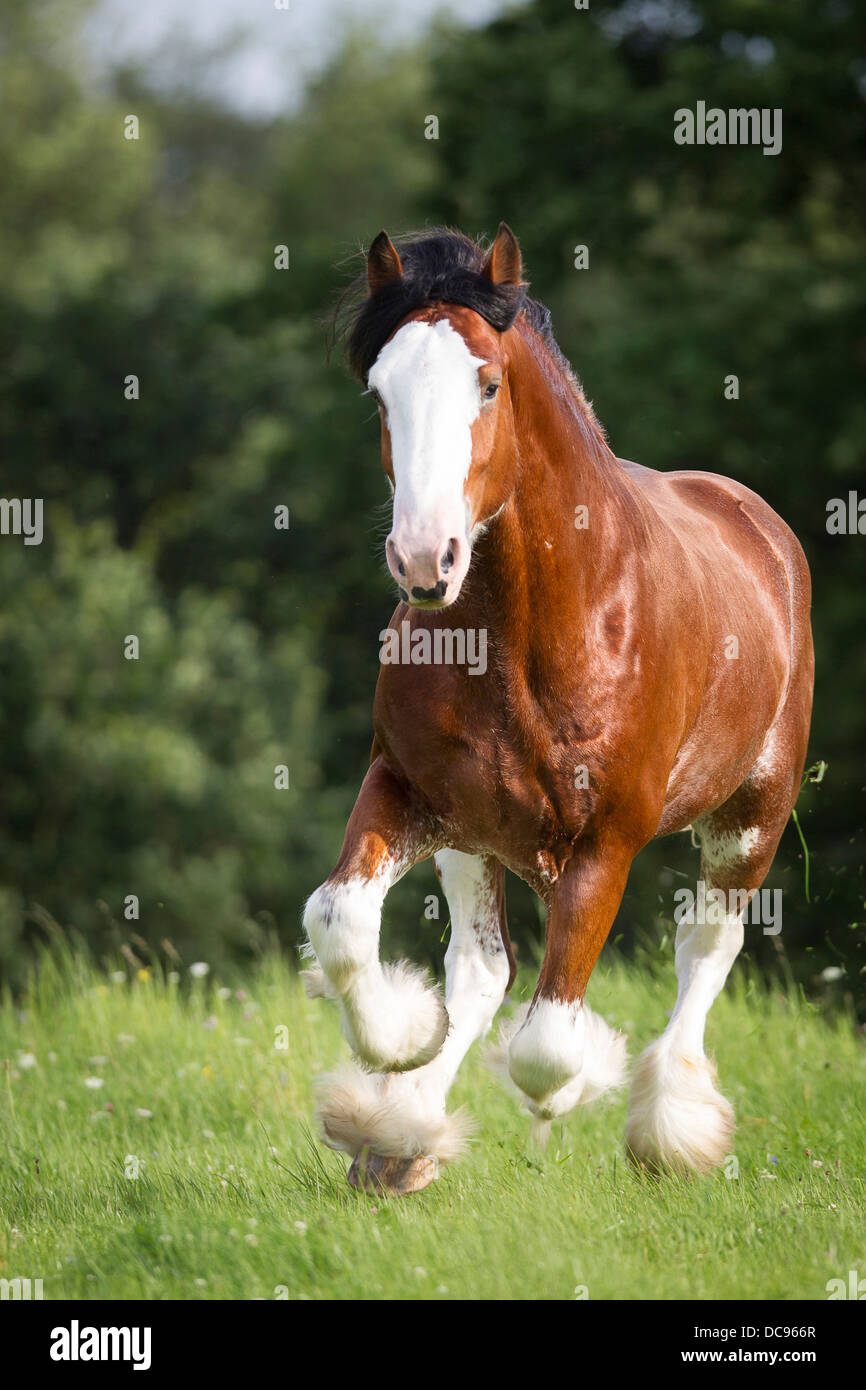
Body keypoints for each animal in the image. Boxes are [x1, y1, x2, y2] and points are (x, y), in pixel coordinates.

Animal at [302, 224, 814, 1196]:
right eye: (380, 391)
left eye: (488, 384)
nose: (423, 559)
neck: (535, 628)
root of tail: (754, 518)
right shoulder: (407, 790)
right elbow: (339, 921)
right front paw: (400, 1049)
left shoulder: (607, 842)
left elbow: (546, 1044)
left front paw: (570, 1087)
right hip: (472, 835)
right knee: (479, 968)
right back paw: (401, 1135)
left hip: (750, 817)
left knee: (706, 947)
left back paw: (670, 1129)